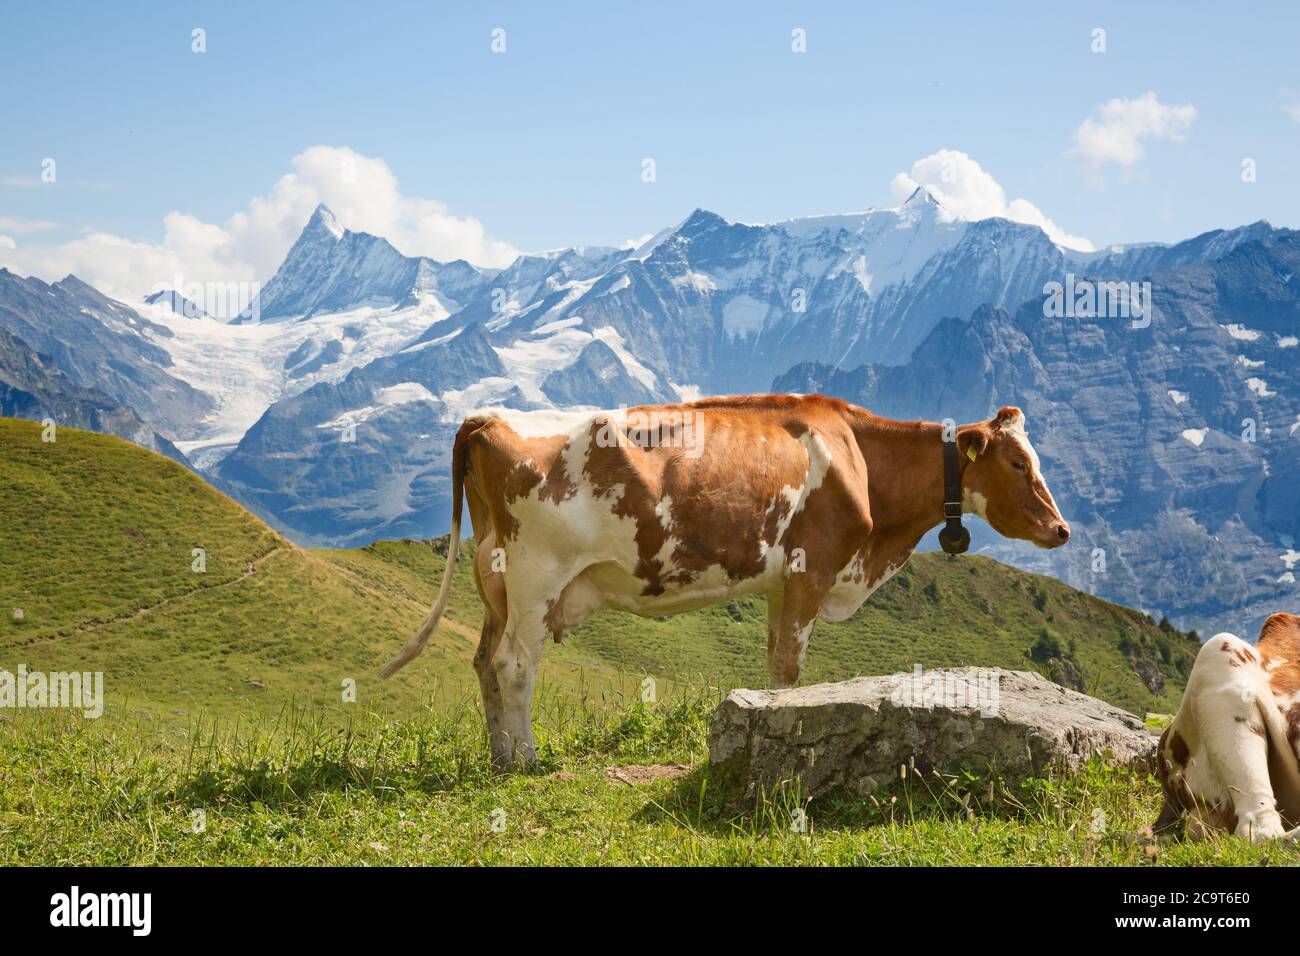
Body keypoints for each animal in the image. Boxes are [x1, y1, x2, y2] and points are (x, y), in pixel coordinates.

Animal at [380, 394, 1070, 769]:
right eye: (1017, 462)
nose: (1062, 530)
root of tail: (485, 418)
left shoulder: (779, 585)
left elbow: (774, 668)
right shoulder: (812, 570)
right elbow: (790, 669)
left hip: (493, 577)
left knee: (482, 661)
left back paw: (498, 754)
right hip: (536, 576)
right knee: (515, 665)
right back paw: (524, 760)